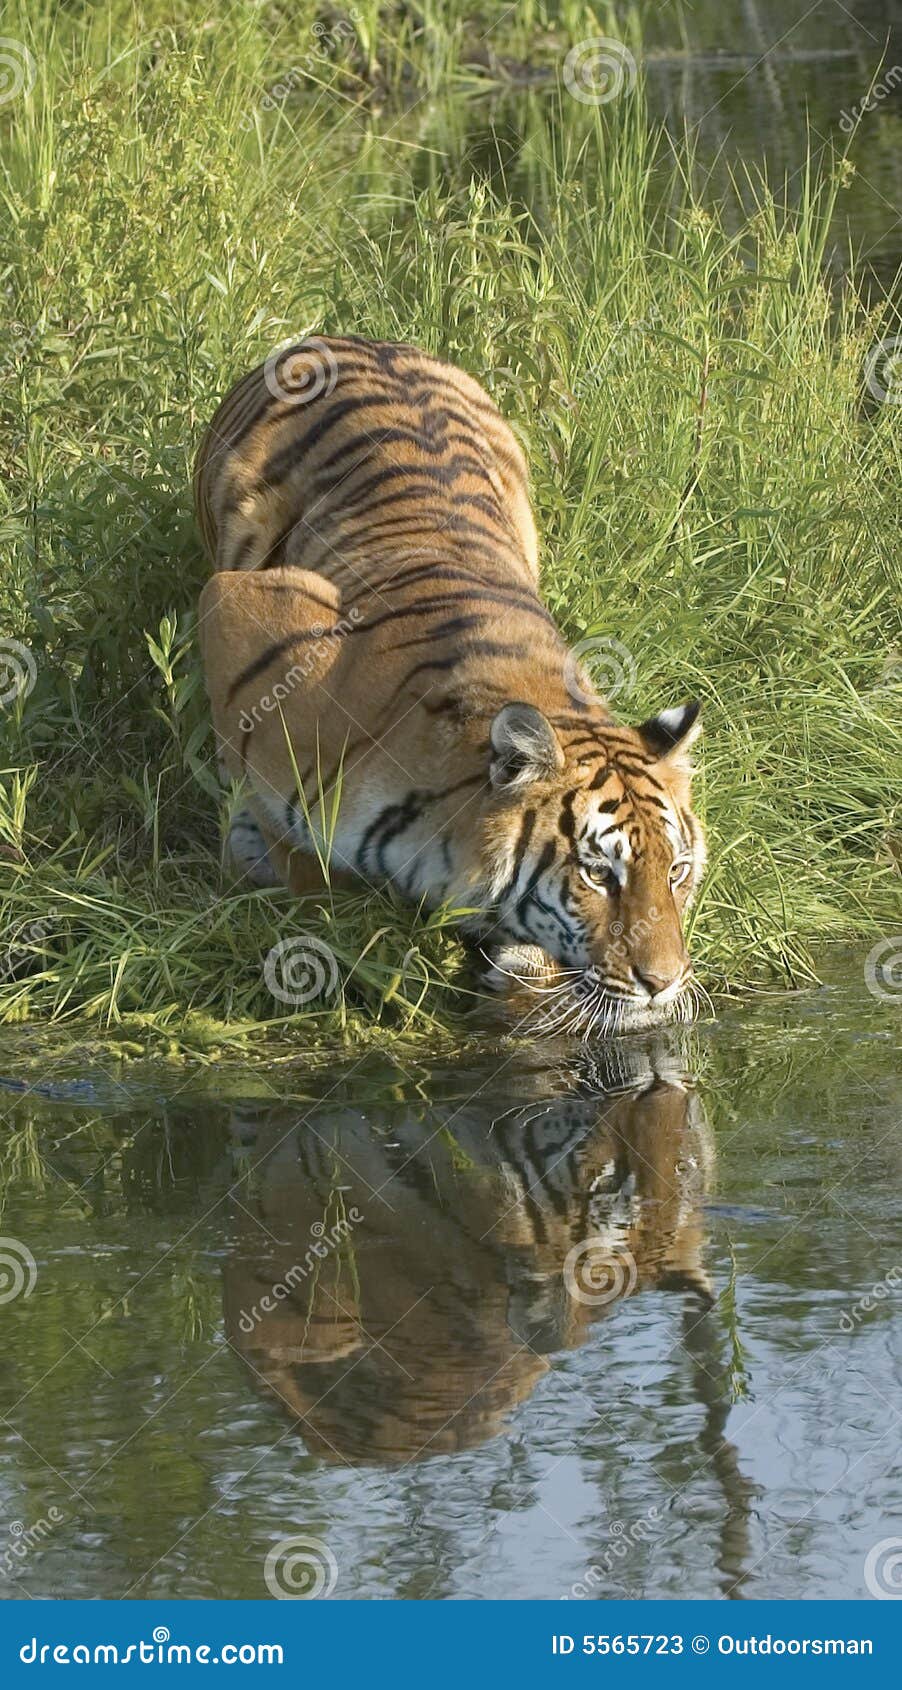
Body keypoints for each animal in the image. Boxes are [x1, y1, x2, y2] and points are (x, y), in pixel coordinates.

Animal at [195, 334, 707, 1033]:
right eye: (600, 875)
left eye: (677, 871)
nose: (664, 982)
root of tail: (349, 336)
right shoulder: (246, 611)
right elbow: (289, 846)